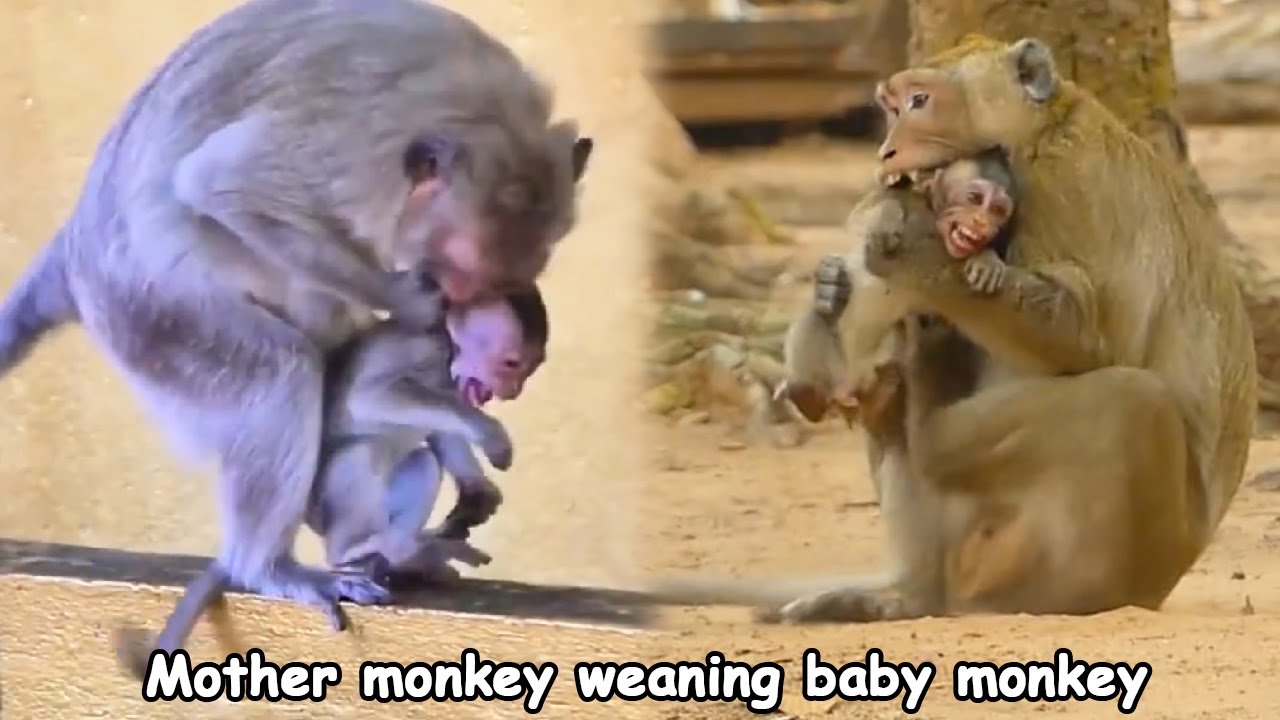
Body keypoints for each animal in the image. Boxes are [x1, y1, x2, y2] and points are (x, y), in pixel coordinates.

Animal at [0, 0, 594, 626]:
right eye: (460, 272)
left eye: (498, 277)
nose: (459, 303)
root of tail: (75, 247)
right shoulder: (350, 153)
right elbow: (225, 187)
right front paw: (416, 306)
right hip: (151, 315)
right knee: (277, 372)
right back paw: (269, 565)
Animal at [114, 284, 551, 679]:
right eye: (512, 363)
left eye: (526, 369)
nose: (513, 390)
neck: (447, 356)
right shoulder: (426, 353)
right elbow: (370, 397)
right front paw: (488, 432)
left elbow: (442, 436)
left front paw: (477, 489)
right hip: (321, 505)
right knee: (361, 455)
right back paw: (354, 550)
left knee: (421, 463)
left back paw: (398, 556)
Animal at [651, 36, 1256, 623]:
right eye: (892, 107)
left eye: (920, 101)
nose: (886, 150)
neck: (1044, 127)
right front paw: (834, 292)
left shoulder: (1063, 189)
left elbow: (1084, 337)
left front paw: (916, 251)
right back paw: (906, 590)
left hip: (1077, 555)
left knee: (1133, 400)